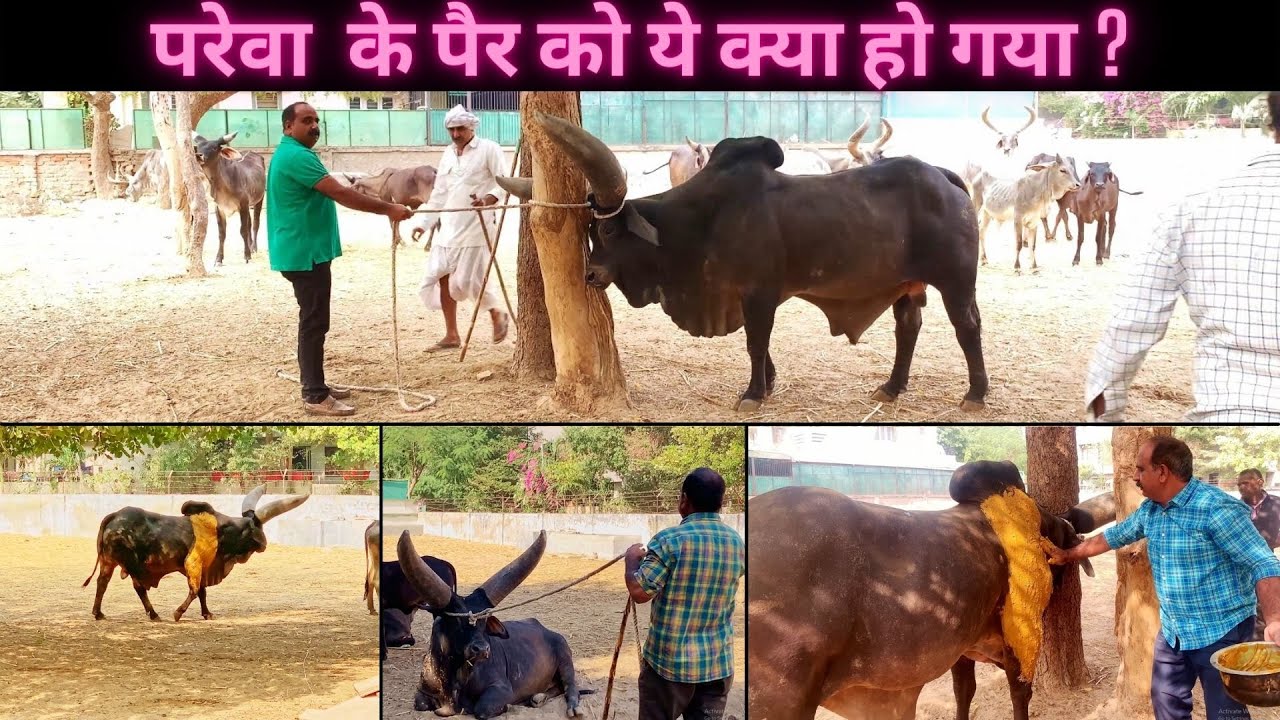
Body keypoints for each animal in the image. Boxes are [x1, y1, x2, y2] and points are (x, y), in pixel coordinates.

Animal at [81, 484, 309, 622]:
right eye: (254, 529)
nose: (264, 545)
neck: (222, 530)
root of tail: (114, 516)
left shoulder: (204, 567)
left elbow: (202, 591)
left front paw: (207, 613)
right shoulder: (194, 563)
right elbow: (194, 590)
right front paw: (178, 613)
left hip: (109, 561)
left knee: (102, 583)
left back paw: (98, 613)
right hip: (132, 564)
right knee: (138, 587)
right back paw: (153, 614)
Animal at [191, 131, 266, 266]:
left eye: (214, 147)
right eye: (198, 147)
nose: (199, 156)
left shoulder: (243, 204)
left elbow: (243, 230)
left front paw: (247, 256)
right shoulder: (219, 208)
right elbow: (222, 234)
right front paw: (218, 259)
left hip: (259, 199)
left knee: (255, 224)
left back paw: (253, 248)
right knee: (250, 223)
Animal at [394, 529, 593, 718]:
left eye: (484, 619)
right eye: (454, 619)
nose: (481, 649)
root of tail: (548, 631)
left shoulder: (501, 689)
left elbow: (482, 709)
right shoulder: (422, 691)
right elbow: (420, 704)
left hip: (565, 660)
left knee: (571, 687)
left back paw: (571, 706)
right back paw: (537, 697)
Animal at [494, 110, 990, 414]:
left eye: (612, 231)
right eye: (592, 232)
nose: (592, 274)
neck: (702, 221)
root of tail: (943, 176)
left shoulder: (759, 294)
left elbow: (755, 342)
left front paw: (753, 393)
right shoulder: (742, 295)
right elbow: (759, 344)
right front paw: (767, 383)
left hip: (956, 282)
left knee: (967, 327)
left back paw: (976, 393)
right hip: (908, 285)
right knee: (908, 327)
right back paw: (891, 387)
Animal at [746, 460, 1098, 720]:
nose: (1061, 583)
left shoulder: (962, 643)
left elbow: (964, 691)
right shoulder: (1016, 638)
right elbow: (1020, 692)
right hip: (780, 698)